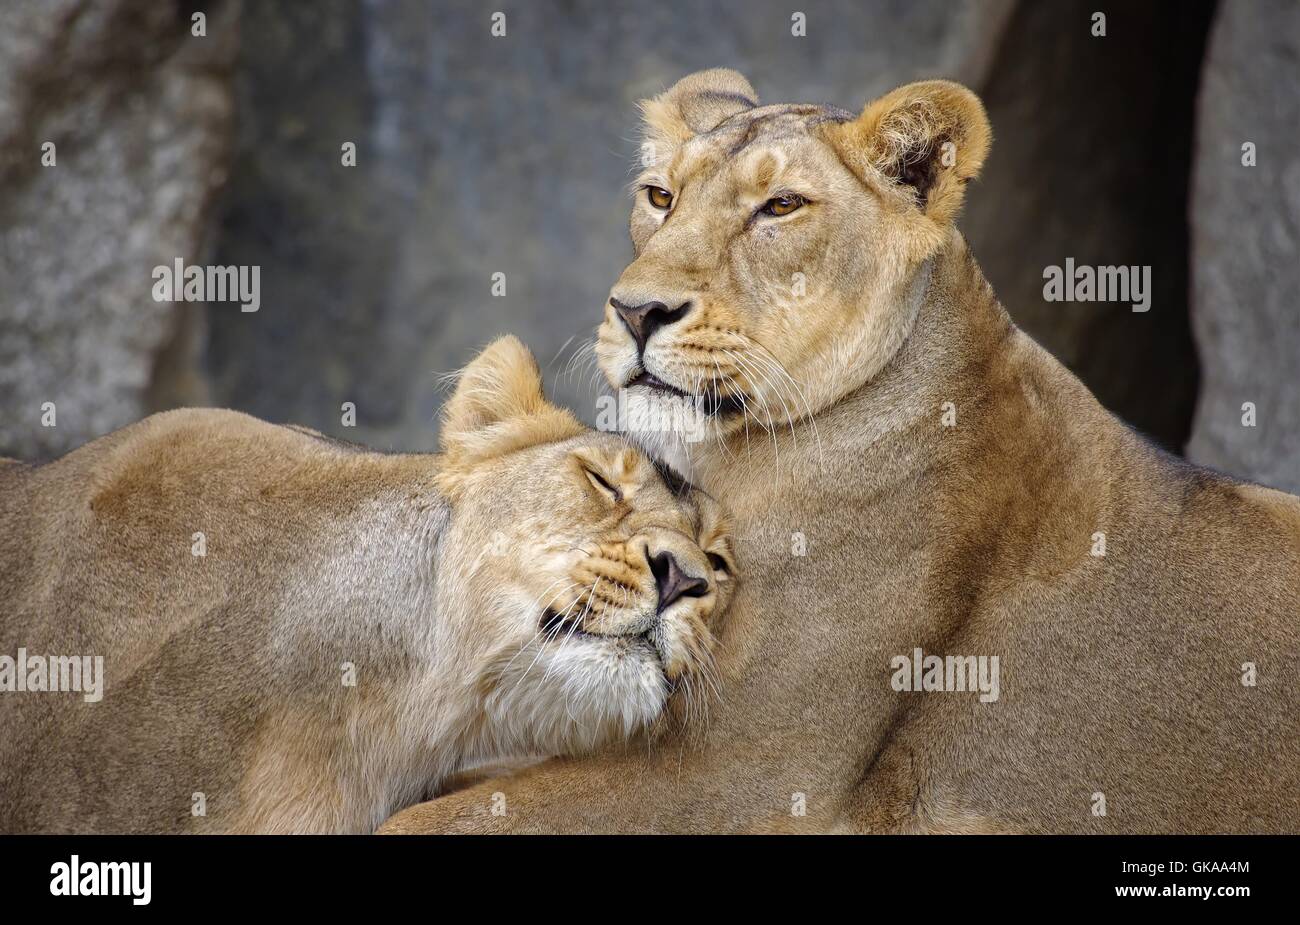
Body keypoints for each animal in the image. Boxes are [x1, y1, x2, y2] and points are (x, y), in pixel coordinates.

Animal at [380, 70, 1300, 835]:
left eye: (781, 207)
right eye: (659, 195)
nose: (636, 311)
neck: (737, 458)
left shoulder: (753, 762)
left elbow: (422, 820)